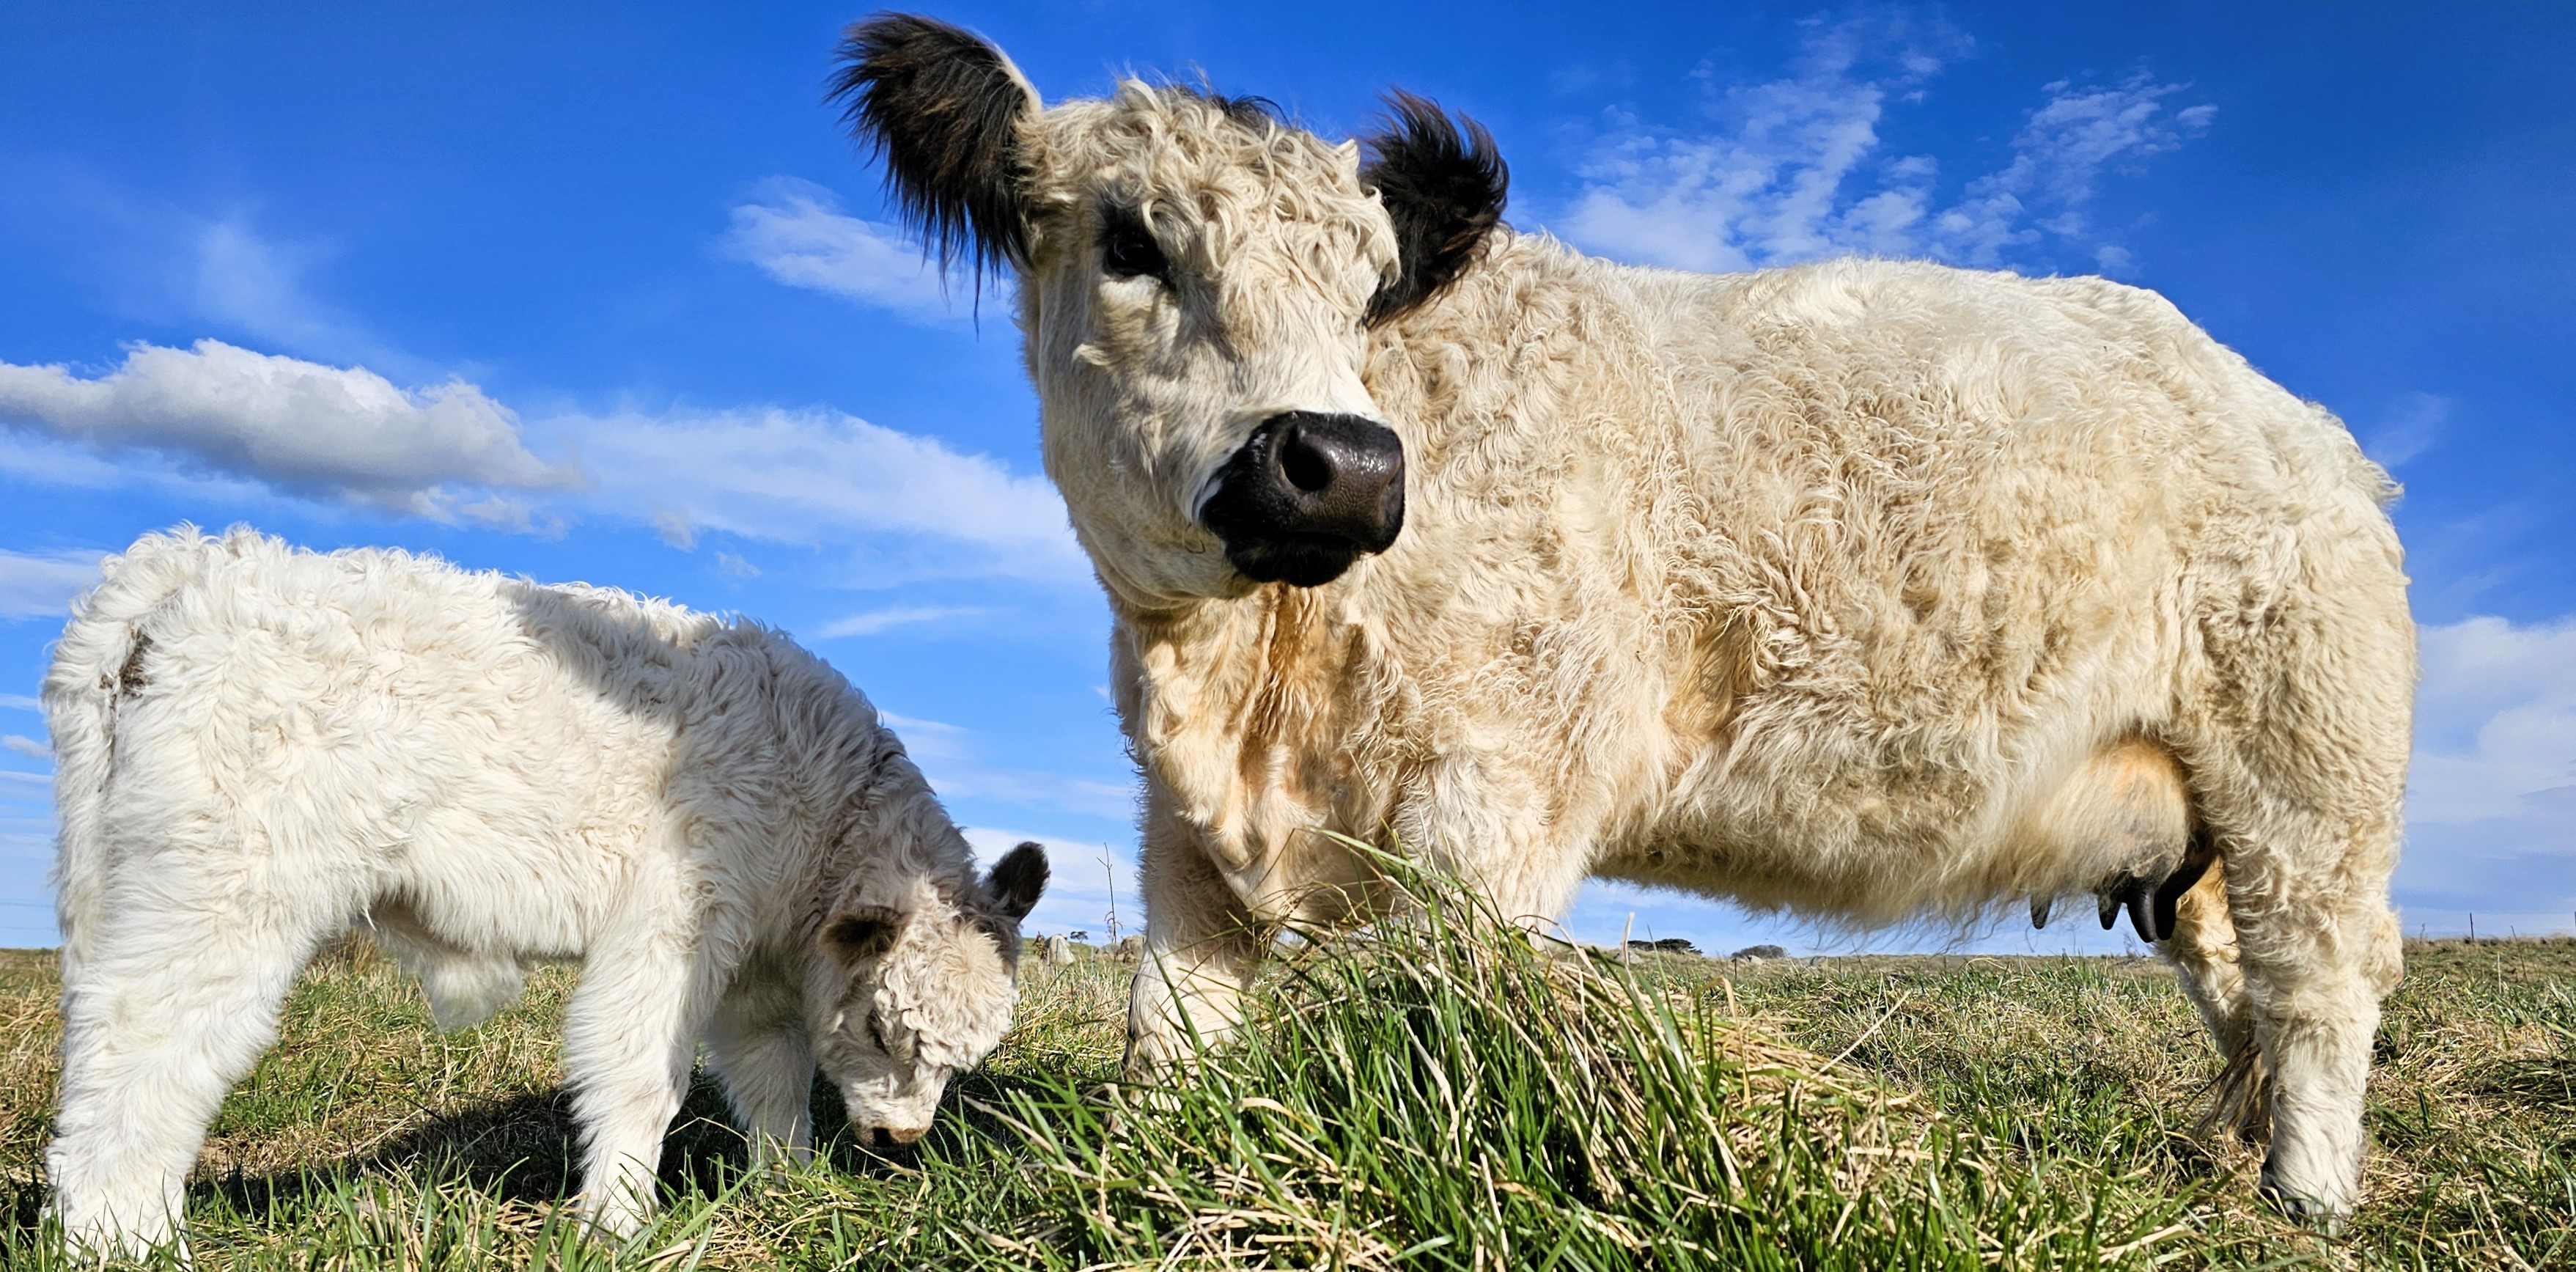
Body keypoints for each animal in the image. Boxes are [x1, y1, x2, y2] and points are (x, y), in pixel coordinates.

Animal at [43, 527, 1049, 1252]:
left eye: (962, 1059)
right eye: (881, 1026)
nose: (900, 1144)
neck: (821, 795)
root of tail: (197, 562)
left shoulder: (759, 970)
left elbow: (774, 1080)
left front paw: (792, 1189)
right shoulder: (669, 930)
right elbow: (641, 1078)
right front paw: (618, 1224)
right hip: (226, 893)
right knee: (144, 1043)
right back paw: (125, 1237)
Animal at [833, 14, 2413, 1220]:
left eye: (1369, 283)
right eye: (1128, 241)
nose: (1338, 464)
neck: (1248, 679)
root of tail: (2293, 421)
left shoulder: (1495, 802)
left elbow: (1444, 1034)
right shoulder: (1180, 836)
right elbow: (1166, 1045)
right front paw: (1156, 1184)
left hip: (2306, 779)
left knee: (2321, 980)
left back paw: (2307, 1195)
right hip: (2189, 840)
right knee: (2241, 985)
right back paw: (2230, 1153)